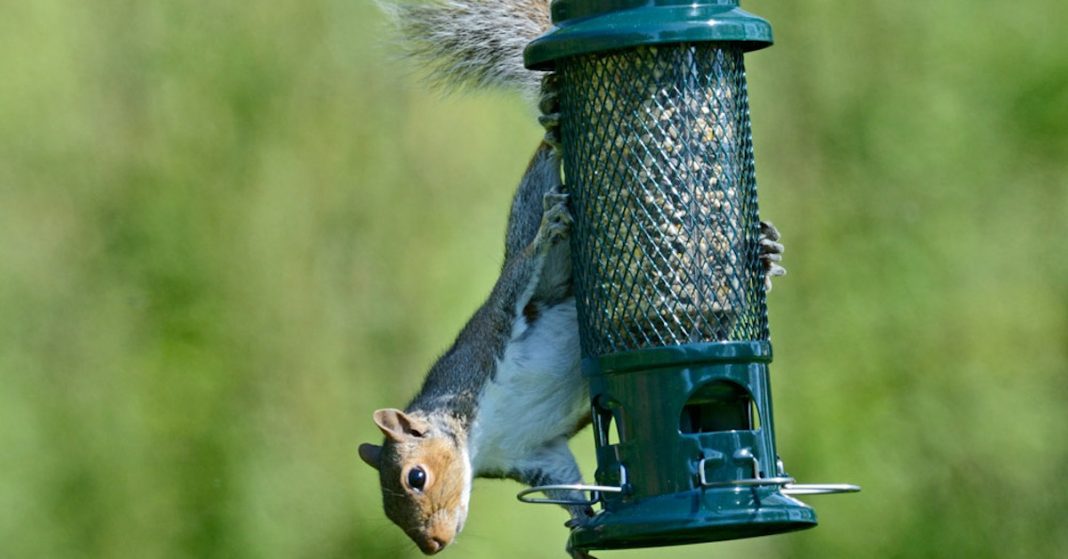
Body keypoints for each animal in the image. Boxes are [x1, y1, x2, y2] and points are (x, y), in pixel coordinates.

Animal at [360, 1, 787, 557]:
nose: (433, 544)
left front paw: (542, 237)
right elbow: (566, 488)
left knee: (546, 184)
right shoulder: (535, 455)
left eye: (416, 477)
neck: (479, 434)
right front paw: (580, 534)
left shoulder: (490, 341)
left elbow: (524, 274)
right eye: (390, 509)